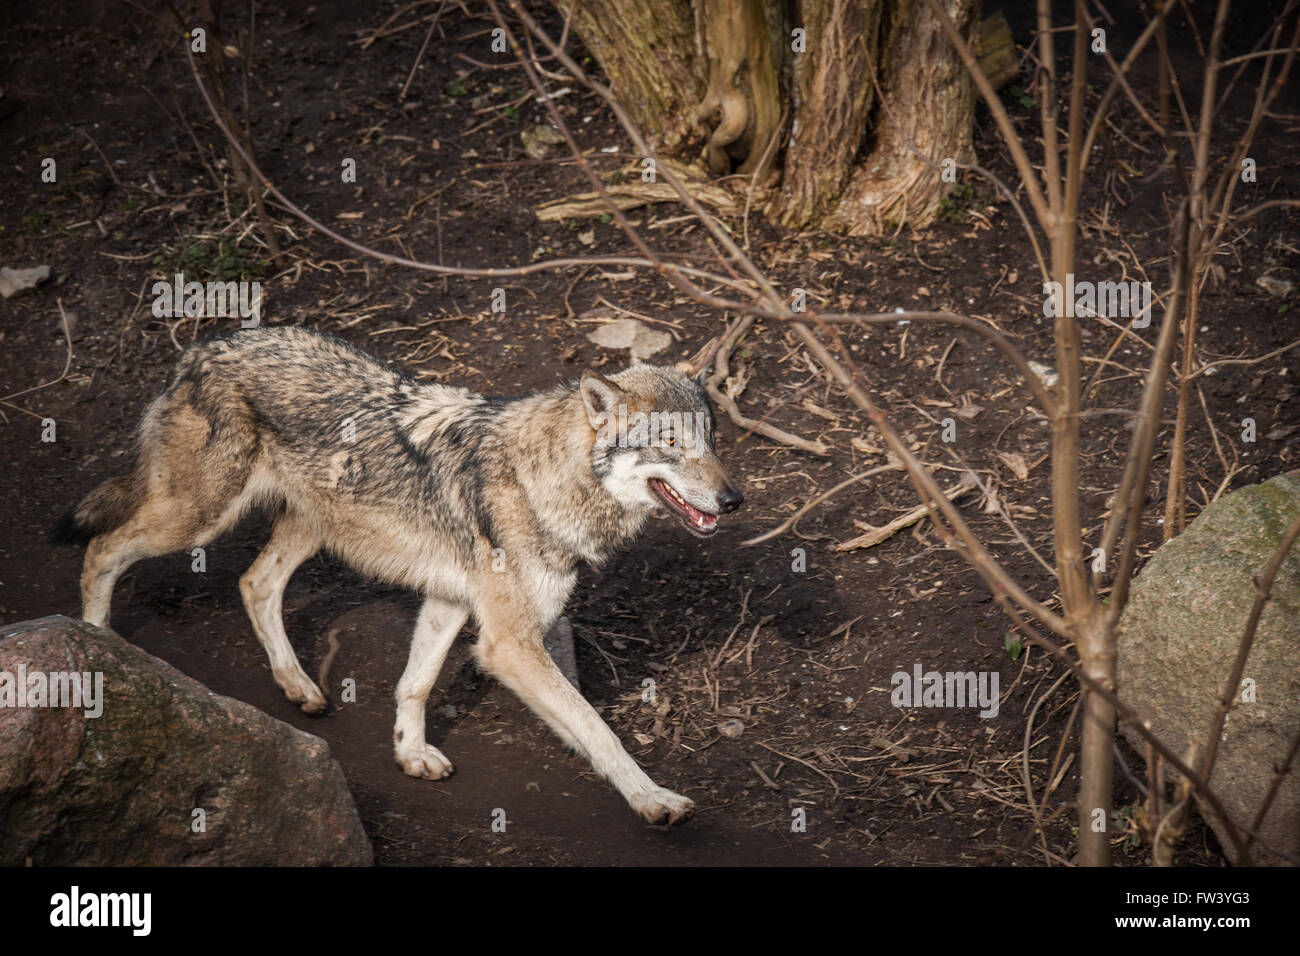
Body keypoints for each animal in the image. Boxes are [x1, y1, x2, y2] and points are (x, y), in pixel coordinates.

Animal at [51, 326, 742, 825]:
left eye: (711, 439)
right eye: (671, 444)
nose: (734, 501)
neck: (549, 480)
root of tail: (198, 351)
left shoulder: (450, 601)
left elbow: (416, 682)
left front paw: (409, 753)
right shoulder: (510, 644)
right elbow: (599, 730)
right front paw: (653, 800)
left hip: (310, 527)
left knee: (254, 583)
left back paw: (299, 687)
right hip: (197, 521)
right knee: (102, 549)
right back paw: (99, 646)